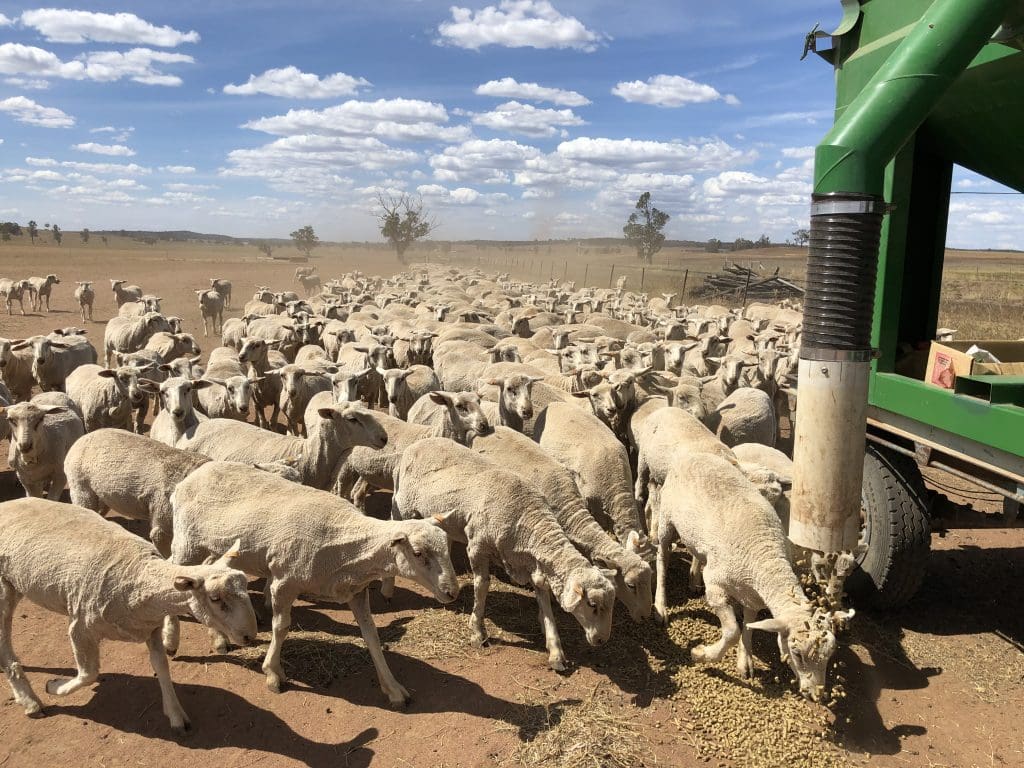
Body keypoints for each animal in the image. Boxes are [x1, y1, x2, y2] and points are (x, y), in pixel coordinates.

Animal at [0, 497, 256, 730]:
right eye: (215, 598)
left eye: (245, 587)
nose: (249, 636)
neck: (139, 573)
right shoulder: (80, 627)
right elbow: (88, 674)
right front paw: (54, 687)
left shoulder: (150, 628)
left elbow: (161, 666)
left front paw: (175, 714)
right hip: (3, 588)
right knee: (6, 648)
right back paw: (30, 701)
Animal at [170, 462, 458, 701]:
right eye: (418, 553)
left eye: (447, 547)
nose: (452, 592)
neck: (347, 546)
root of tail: (192, 477)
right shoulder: (284, 582)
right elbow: (281, 628)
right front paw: (273, 673)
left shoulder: (356, 591)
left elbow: (372, 636)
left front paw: (393, 687)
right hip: (187, 541)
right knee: (173, 572)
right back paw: (171, 639)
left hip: (214, 549)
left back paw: (217, 635)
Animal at [392, 439, 616, 671]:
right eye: (592, 605)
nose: (601, 640)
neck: (527, 520)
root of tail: (417, 443)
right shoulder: (477, 546)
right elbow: (482, 586)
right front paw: (477, 632)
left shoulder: (532, 563)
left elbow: (544, 601)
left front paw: (555, 652)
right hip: (403, 507)